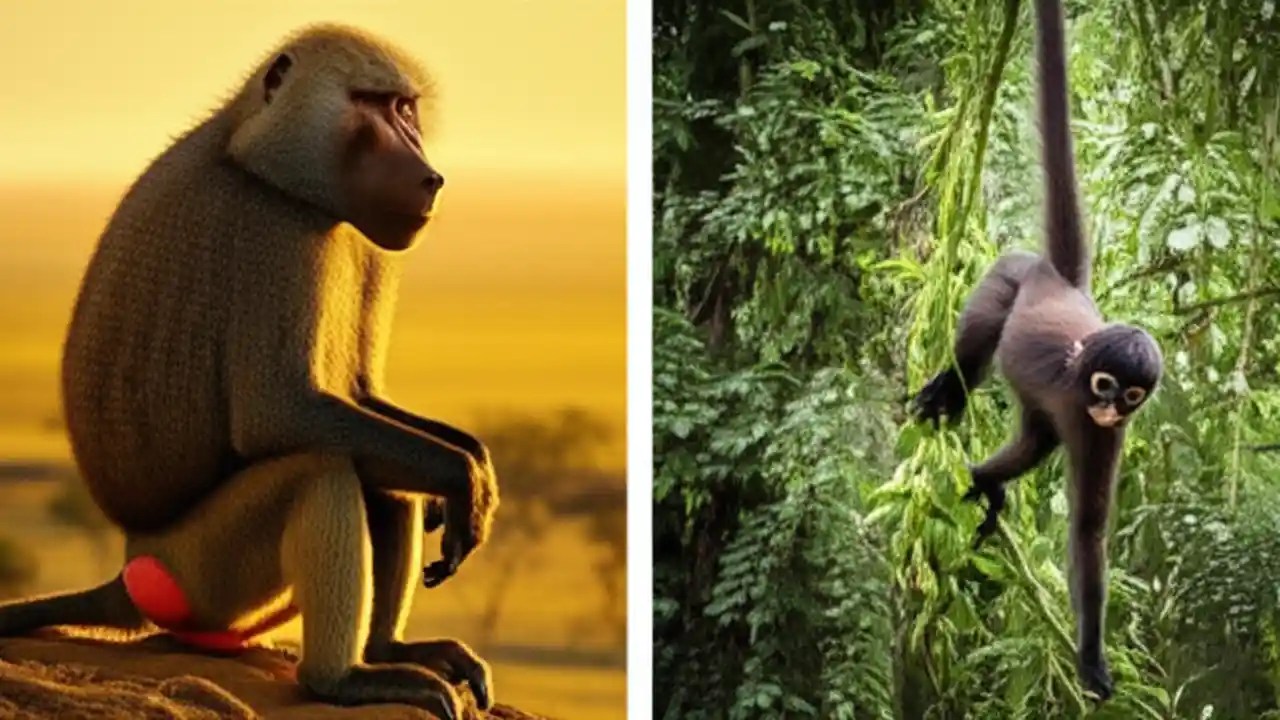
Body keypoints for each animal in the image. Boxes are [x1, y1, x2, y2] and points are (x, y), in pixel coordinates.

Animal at [0, 24, 499, 719]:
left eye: (406, 109)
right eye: (371, 104)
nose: (429, 176)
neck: (253, 155)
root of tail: (133, 568)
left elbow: (358, 396)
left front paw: (473, 465)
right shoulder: (272, 232)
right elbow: (280, 416)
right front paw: (465, 481)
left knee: (387, 473)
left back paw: (390, 651)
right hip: (205, 571)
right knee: (322, 469)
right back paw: (341, 679)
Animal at [909, 0, 1163, 701]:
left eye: (1131, 395)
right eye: (1105, 384)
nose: (1110, 405)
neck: (1080, 387)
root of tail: (1062, 281)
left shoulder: (1108, 436)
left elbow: (1088, 529)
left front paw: (1091, 658)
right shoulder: (1078, 407)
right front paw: (1092, 657)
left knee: (1036, 439)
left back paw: (984, 481)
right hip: (1011, 273)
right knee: (981, 336)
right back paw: (950, 391)